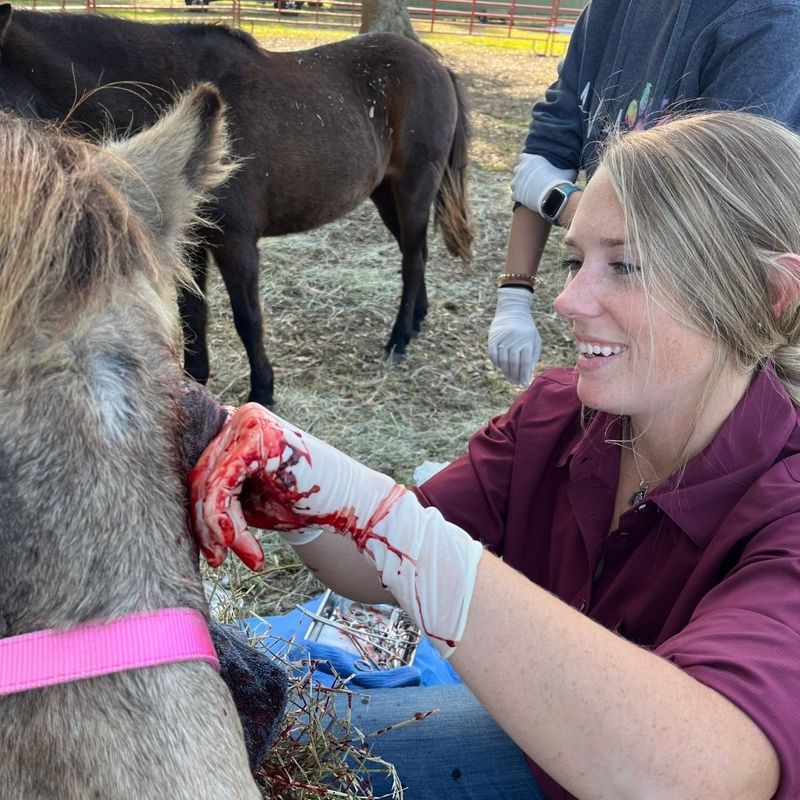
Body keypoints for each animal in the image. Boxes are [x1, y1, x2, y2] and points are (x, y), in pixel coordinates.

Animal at [0, 5, 473, 406]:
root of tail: (435, 65)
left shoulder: (236, 242)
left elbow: (248, 320)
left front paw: (262, 392)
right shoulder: (193, 241)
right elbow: (193, 314)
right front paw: (194, 380)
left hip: (413, 189)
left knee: (413, 258)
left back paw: (399, 339)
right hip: (386, 194)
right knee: (415, 253)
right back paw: (417, 321)